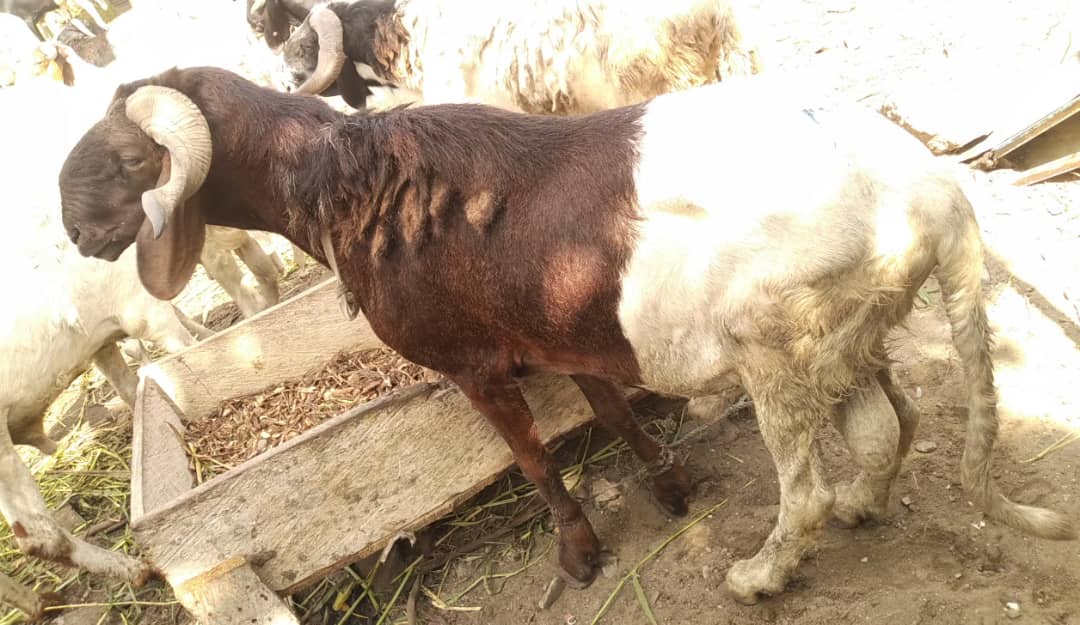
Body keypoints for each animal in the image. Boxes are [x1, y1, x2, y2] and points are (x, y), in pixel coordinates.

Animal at [57, 66, 1076, 603]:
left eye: (124, 159)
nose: (71, 229)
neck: (351, 190)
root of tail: (935, 195)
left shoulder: (473, 366)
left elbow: (536, 458)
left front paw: (581, 557)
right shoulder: (561, 334)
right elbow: (613, 414)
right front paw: (669, 488)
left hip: (777, 346)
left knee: (809, 484)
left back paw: (758, 574)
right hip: (845, 332)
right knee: (882, 430)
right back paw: (864, 506)